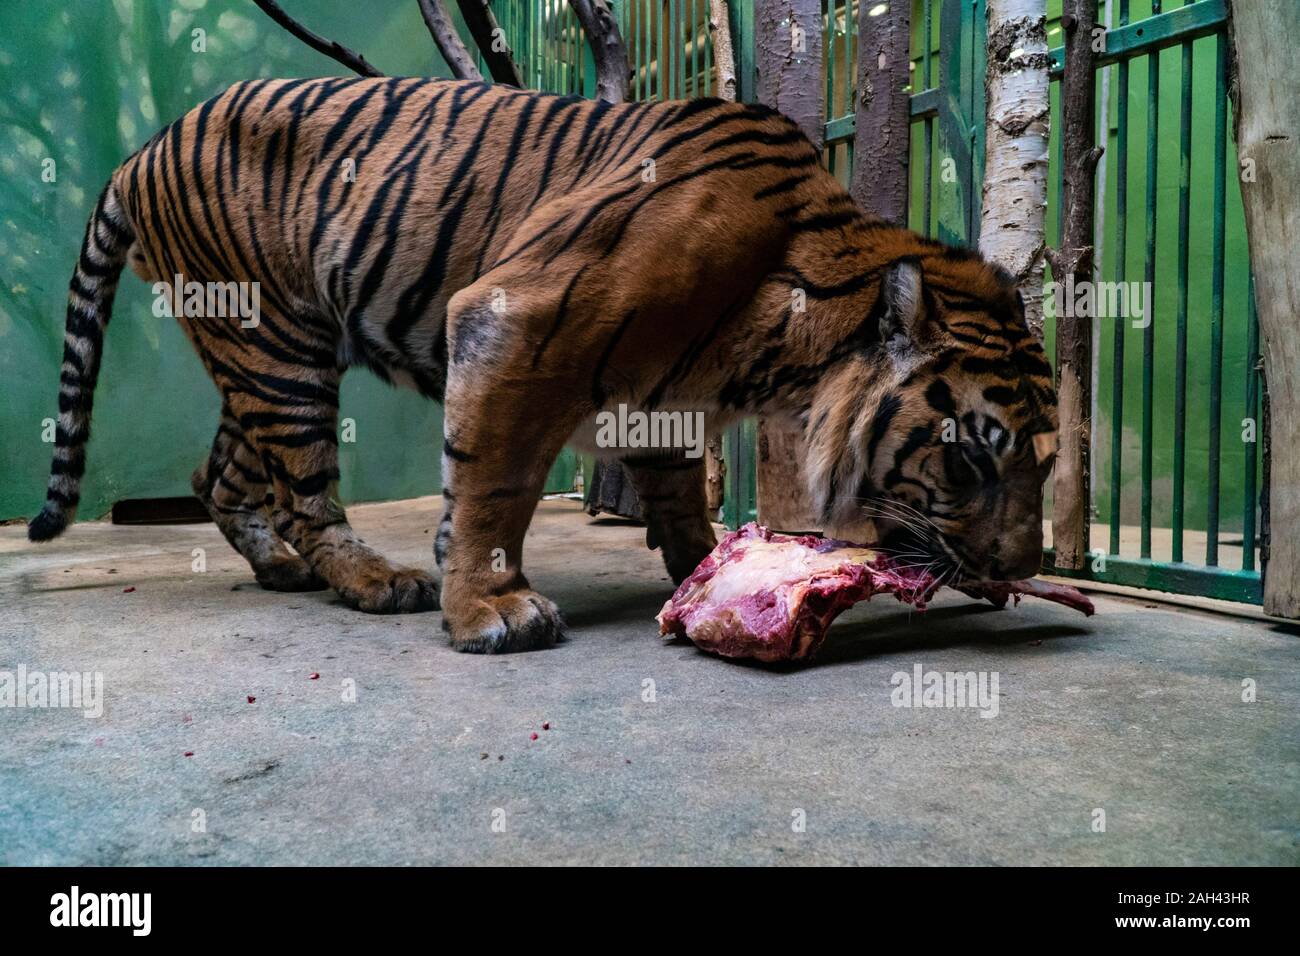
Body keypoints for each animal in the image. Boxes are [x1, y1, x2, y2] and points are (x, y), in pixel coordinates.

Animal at [28, 76, 1059, 653]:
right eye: (970, 457)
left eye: (1042, 465)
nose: (1017, 569)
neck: (789, 342)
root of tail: (138, 149)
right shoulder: (517, 319)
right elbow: (492, 486)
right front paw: (489, 609)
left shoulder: (662, 395)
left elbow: (674, 494)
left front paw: (705, 569)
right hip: (278, 347)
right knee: (304, 489)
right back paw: (373, 583)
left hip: (266, 354)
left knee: (225, 474)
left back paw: (284, 569)